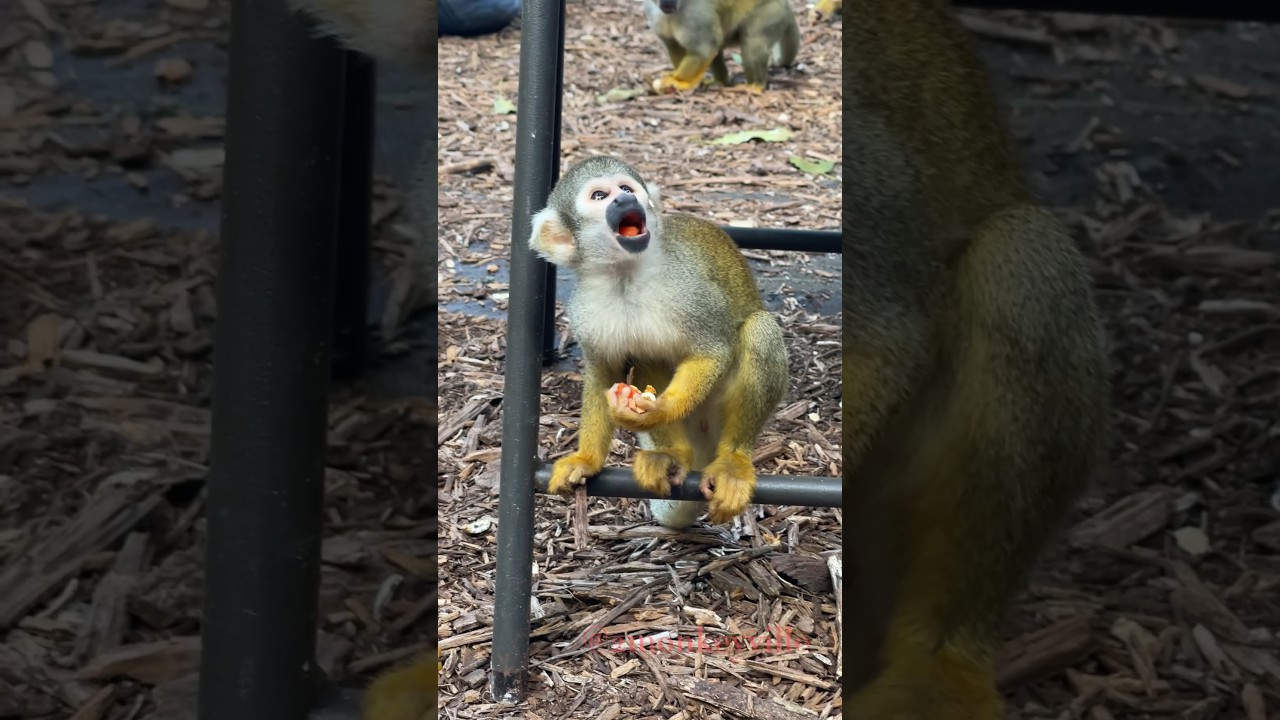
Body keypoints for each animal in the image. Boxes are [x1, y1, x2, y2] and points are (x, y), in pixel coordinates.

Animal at [528, 155, 791, 529]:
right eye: (599, 196)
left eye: (626, 188)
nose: (625, 200)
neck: (626, 274)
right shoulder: (584, 311)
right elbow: (604, 372)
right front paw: (587, 458)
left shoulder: (691, 288)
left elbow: (712, 352)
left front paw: (658, 410)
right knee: (643, 354)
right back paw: (672, 454)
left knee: (759, 330)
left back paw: (732, 462)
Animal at [642, 0, 801, 93]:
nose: (668, 4)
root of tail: (787, 6)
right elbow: (673, 45)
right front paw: (683, 81)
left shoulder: (696, 13)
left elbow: (703, 51)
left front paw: (678, 80)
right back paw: (721, 81)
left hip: (772, 11)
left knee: (752, 41)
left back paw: (756, 86)